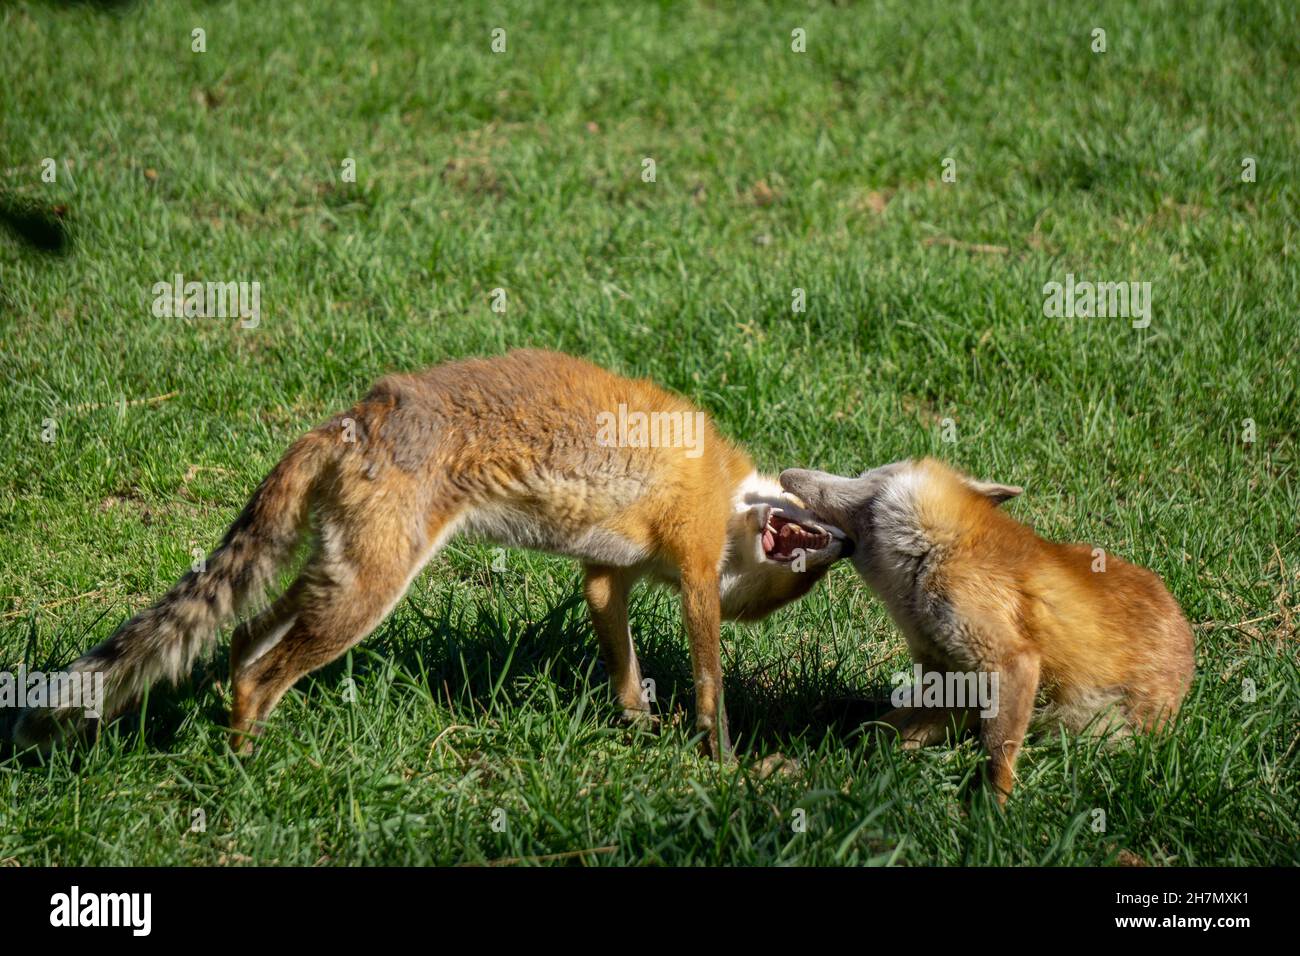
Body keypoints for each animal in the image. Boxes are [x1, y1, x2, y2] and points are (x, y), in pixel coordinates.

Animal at [13, 350, 847, 758]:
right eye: (801, 575)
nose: (843, 542)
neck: (725, 493)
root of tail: (360, 411)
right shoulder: (696, 573)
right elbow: (710, 685)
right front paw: (726, 764)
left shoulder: (608, 578)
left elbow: (625, 672)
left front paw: (640, 729)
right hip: (368, 591)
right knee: (257, 675)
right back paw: (247, 769)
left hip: (335, 576)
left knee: (244, 642)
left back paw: (234, 736)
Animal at [779, 457, 1195, 801]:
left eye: (867, 479)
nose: (788, 473)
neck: (937, 555)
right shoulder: (951, 679)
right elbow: (892, 735)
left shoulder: (1011, 659)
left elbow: (997, 754)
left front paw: (992, 813)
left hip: (1091, 726)